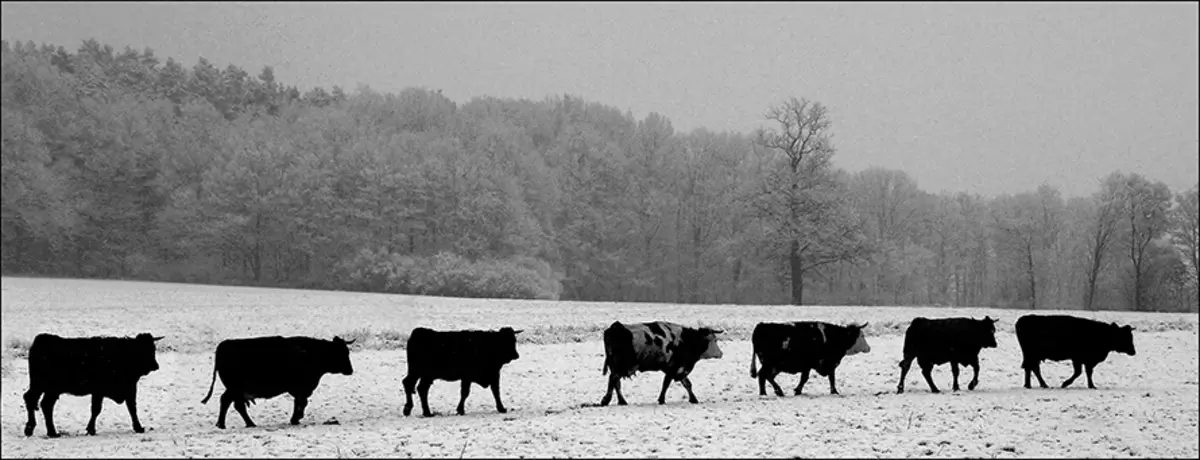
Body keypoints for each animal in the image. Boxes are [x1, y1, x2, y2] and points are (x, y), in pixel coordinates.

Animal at [21, 331, 163, 439]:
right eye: (144, 351)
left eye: (153, 349)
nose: (155, 366)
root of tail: (42, 339)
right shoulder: (102, 391)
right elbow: (97, 409)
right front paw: (91, 429)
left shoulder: (128, 390)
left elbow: (131, 408)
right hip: (43, 386)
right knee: (36, 401)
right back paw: (36, 429)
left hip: (46, 389)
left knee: (42, 403)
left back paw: (47, 431)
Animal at [196, 336, 352, 427]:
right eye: (342, 353)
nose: (350, 370)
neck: (311, 353)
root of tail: (223, 345)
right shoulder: (302, 388)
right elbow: (301, 403)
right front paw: (296, 418)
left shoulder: (300, 389)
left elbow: (300, 402)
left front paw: (296, 418)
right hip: (234, 388)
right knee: (228, 401)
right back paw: (225, 424)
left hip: (237, 390)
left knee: (236, 404)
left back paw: (247, 423)